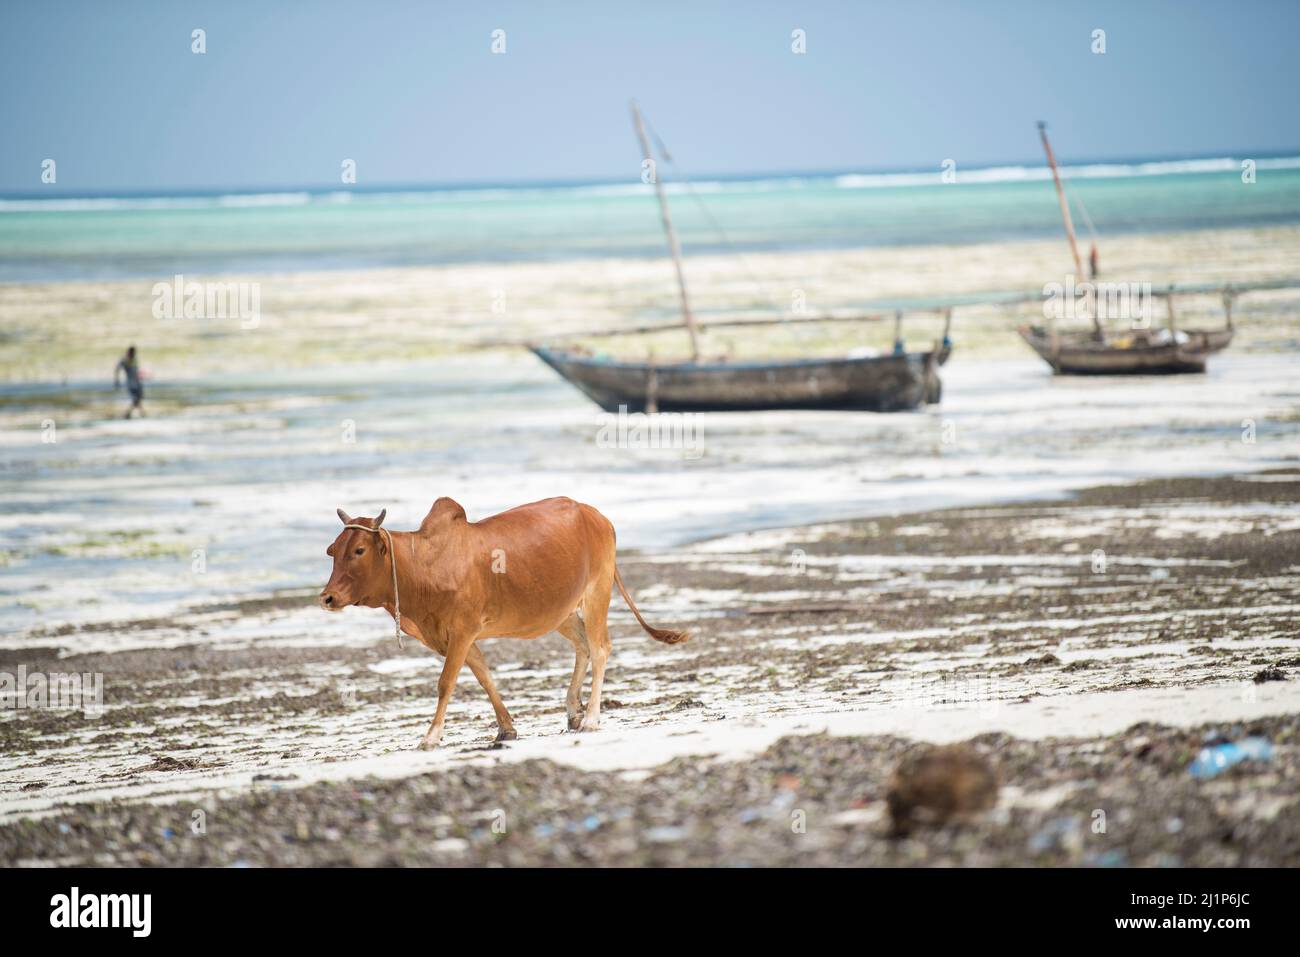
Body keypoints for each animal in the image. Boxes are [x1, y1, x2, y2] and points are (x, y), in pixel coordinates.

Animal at [319, 496, 688, 750]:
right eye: (332, 550)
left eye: (359, 550)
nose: (327, 597)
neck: (424, 567)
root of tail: (596, 515)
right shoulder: (458, 636)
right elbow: (485, 677)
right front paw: (506, 728)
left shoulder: (462, 631)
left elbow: (446, 683)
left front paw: (431, 736)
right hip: (560, 610)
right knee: (583, 646)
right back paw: (574, 711)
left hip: (597, 592)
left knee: (600, 649)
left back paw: (592, 718)